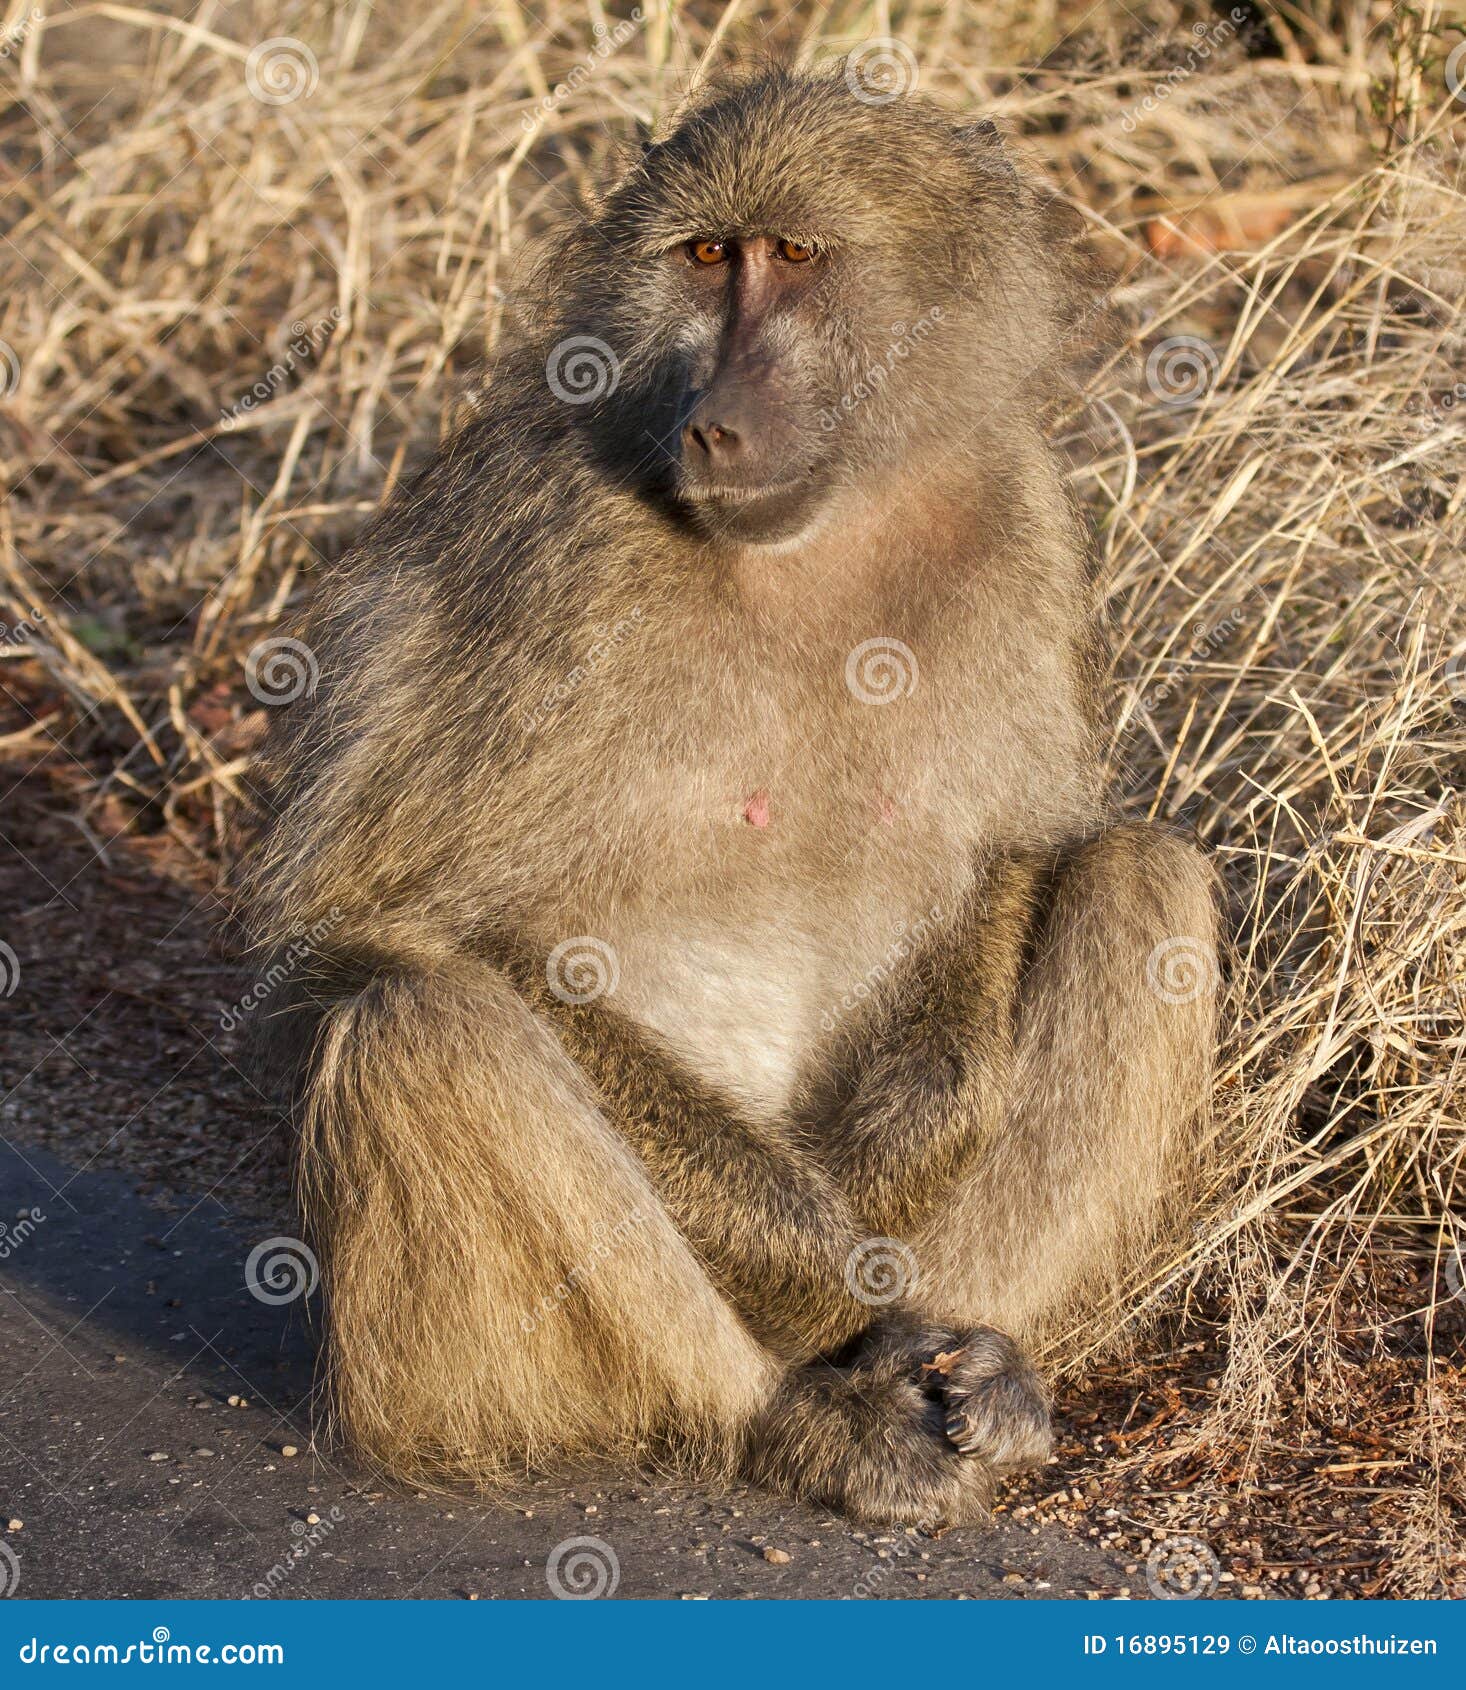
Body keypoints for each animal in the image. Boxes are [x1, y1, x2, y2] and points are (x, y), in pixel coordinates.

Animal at [243, 66, 1219, 1526]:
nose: (715, 416)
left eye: (795, 256)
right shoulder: (549, 541)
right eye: (707, 258)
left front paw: (922, 1128)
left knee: (1141, 878)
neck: (825, 534)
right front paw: (832, 1291)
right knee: (422, 1024)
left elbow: (1021, 845)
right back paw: (801, 1416)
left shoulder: (1021, 512)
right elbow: (376, 920)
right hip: (467, 1386)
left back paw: (979, 1358)